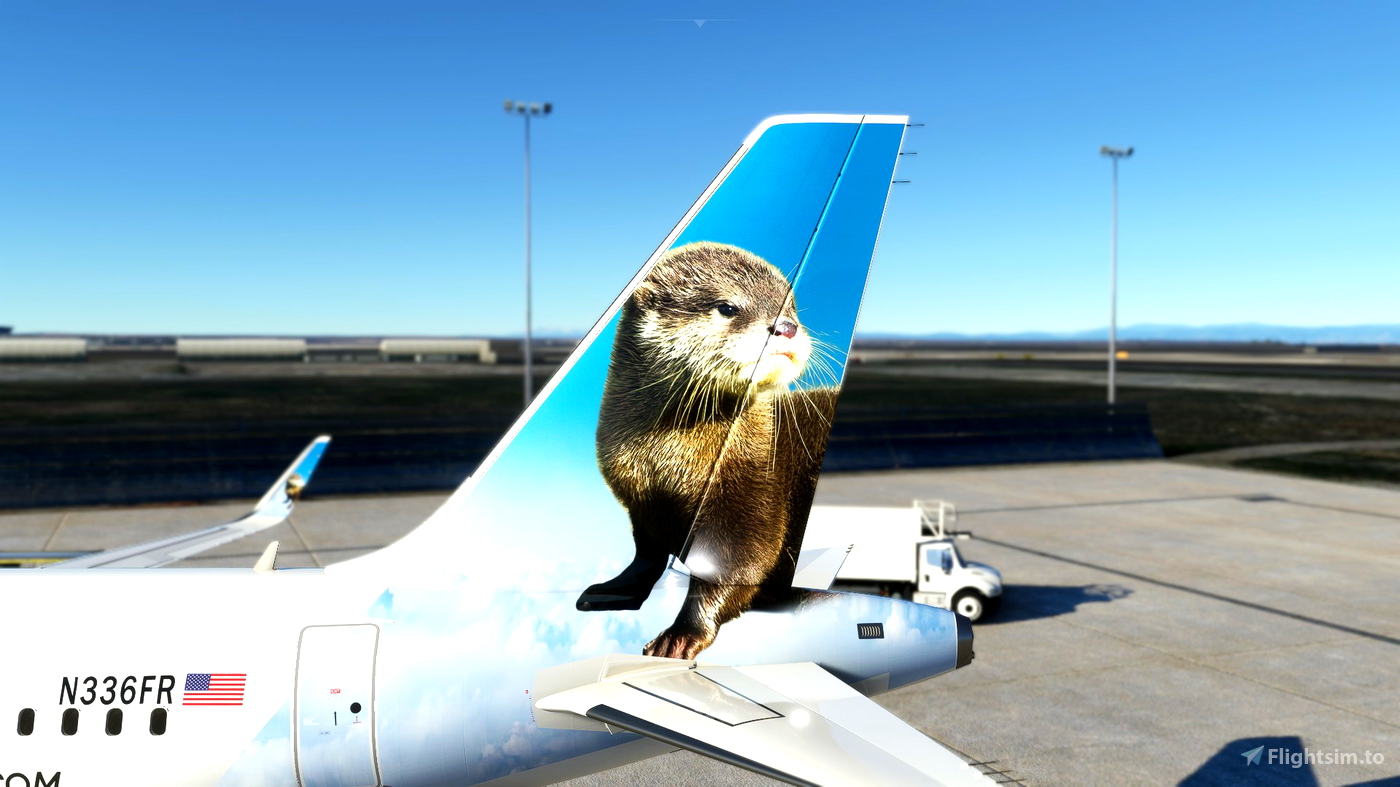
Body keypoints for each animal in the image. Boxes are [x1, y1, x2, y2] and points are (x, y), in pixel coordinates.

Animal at [577, 242, 839, 660]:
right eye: (728, 307)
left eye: (793, 306)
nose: (787, 327)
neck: (665, 466)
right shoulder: (642, 506)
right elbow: (646, 556)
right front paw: (611, 590)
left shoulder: (752, 497)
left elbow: (741, 564)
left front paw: (680, 635)